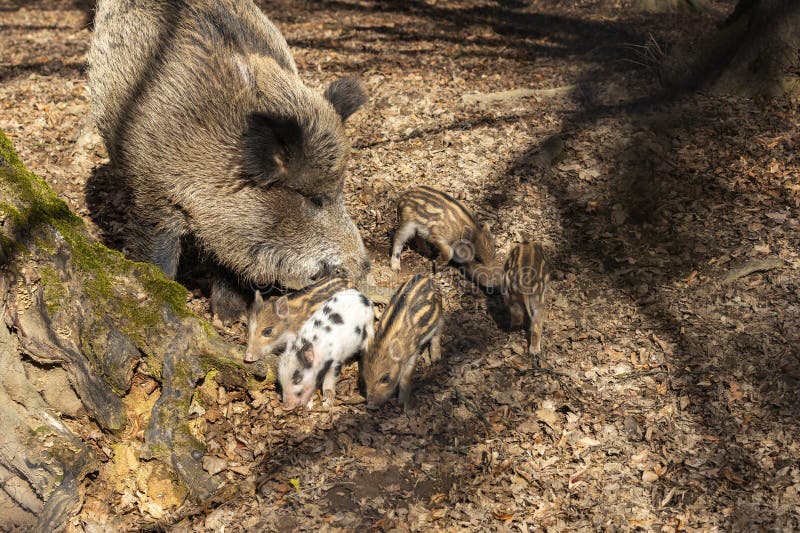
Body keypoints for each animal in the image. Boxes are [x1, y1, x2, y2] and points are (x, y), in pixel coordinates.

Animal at [88, 0, 371, 320]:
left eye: (341, 191)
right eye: (313, 199)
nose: (366, 267)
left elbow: (228, 267)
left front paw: (231, 317)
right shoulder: (155, 197)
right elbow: (159, 258)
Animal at [361, 274, 443, 409]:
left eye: (385, 378)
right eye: (364, 378)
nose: (370, 406)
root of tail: (426, 277)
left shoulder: (413, 352)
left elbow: (405, 377)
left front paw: (403, 403)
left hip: (440, 315)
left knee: (438, 333)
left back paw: (436, 359)